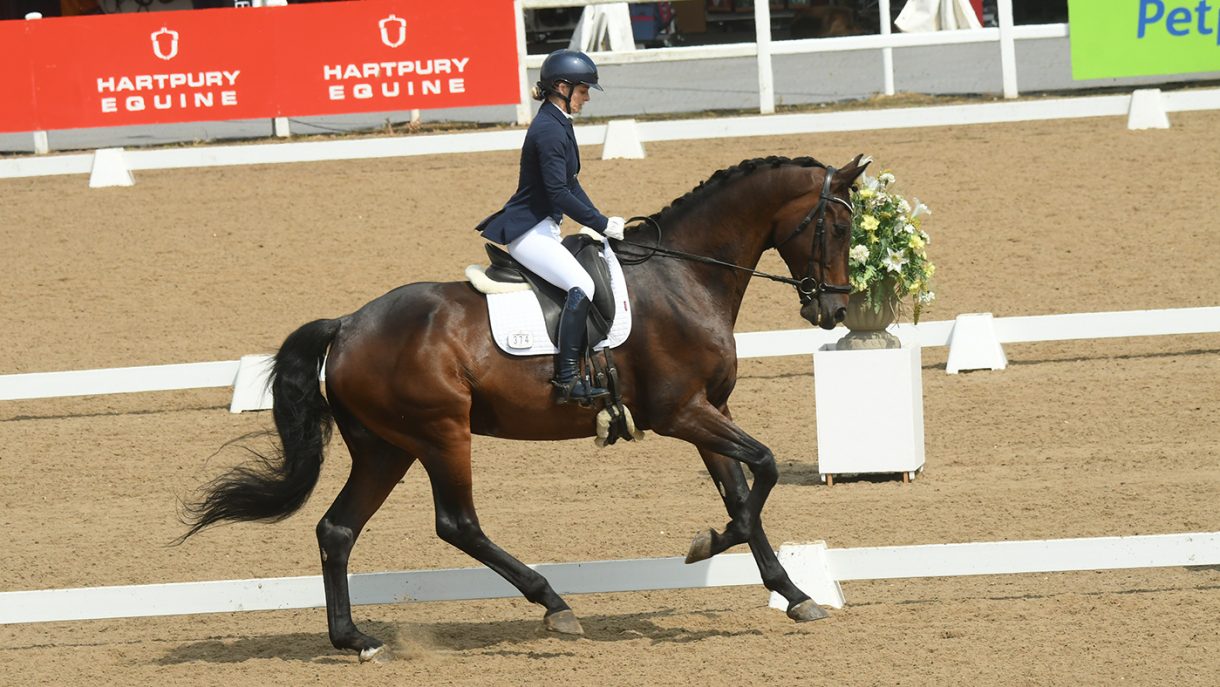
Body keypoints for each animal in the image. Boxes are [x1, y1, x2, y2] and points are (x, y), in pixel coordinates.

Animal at [179, 154, 870, 662]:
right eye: (836, 228)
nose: (834, 309)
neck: (685, 277)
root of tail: (347, 326)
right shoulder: (681, 413)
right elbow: (765, 470)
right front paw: (709, 547)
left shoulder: (706, 411)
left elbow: (742, 494)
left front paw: (792, 591)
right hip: (441, 434)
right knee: (457, 524)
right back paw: (555, 606)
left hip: (386, 448)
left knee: (337, 530)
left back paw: (355, 640)